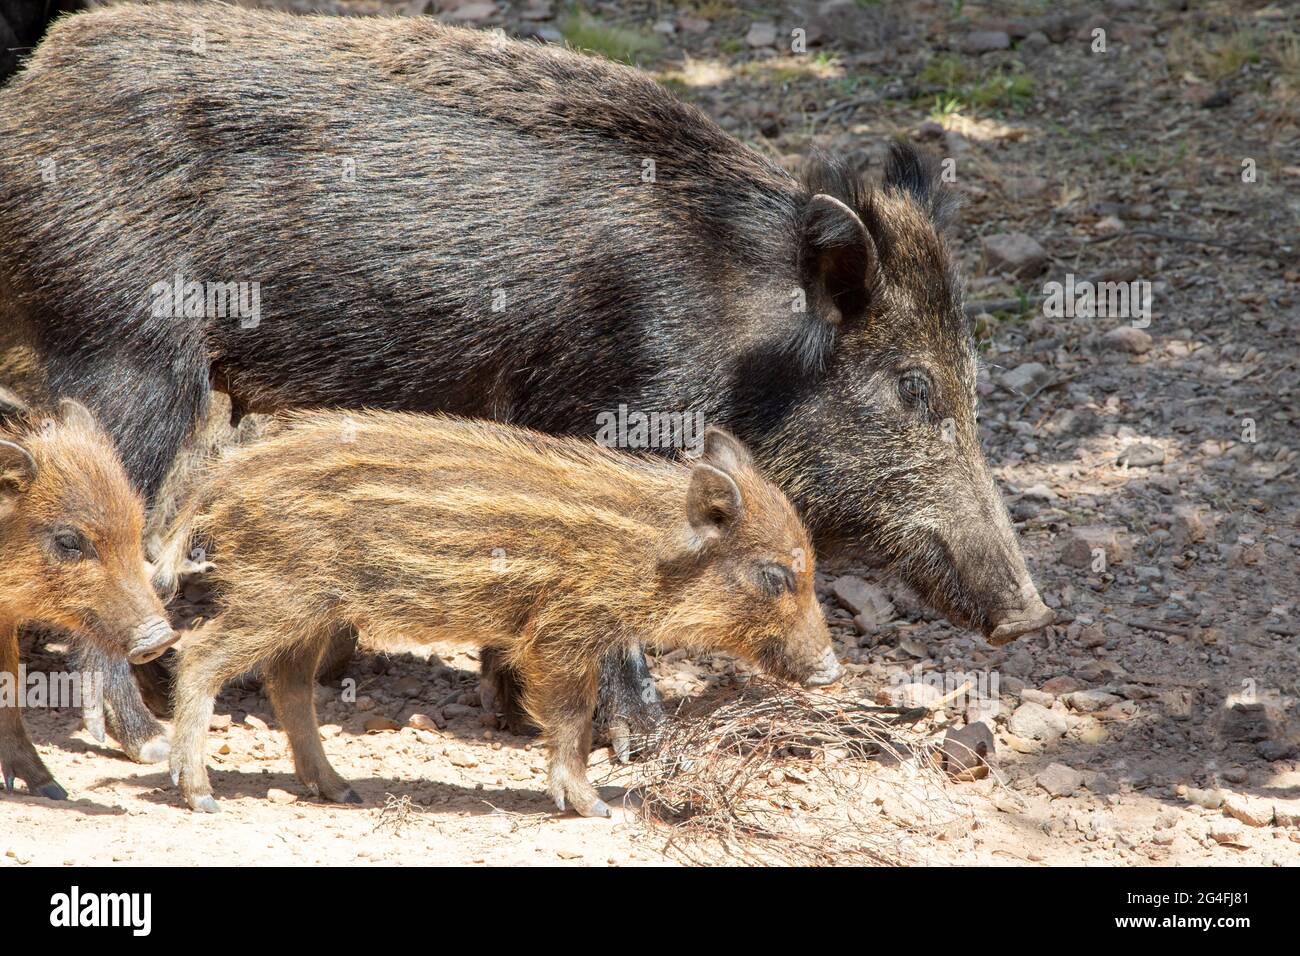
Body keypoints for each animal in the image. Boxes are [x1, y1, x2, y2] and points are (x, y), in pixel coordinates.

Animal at [166, 414, 840, 817]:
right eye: (776, 575)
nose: (833, 672)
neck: (646, 552)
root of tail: (223, 476)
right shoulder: (559, 632)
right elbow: (570, 717)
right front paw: (593, 807)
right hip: (279, 593)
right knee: (200, 654)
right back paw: (201, 796)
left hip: (315, 610)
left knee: (287, 681)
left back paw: (340, 790)